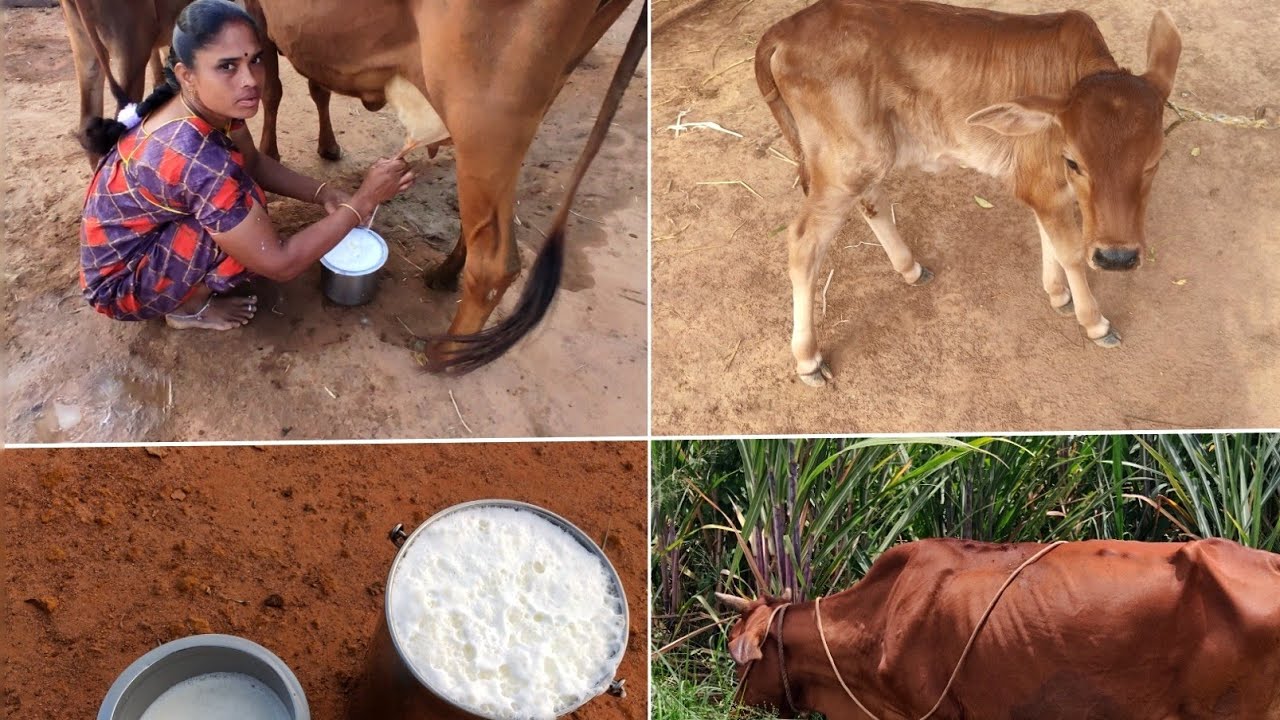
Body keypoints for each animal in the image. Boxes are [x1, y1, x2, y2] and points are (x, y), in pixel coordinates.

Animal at [240, 0, 646, 372]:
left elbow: (272, 88)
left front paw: (271, 152)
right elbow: (314, 87)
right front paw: (327, 146)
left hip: (483, 110)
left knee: (495, 264)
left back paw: (443, 353)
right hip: (540, 95)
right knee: (481, 223)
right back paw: (444, 275)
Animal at [755, 1, 1182, 387]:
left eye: (1153, 161)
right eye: (1074, 162)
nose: (1117, 258)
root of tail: (782, 31)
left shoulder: (1045, 190)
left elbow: (1050, 239)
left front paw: (1057, 293)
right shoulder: (1044, 183)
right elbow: (1072, 252)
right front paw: (1094, 322)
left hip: (863, 159)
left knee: (872, 204)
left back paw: (910, 269)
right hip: (845, 163)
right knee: (803, 241)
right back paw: (808, 359)